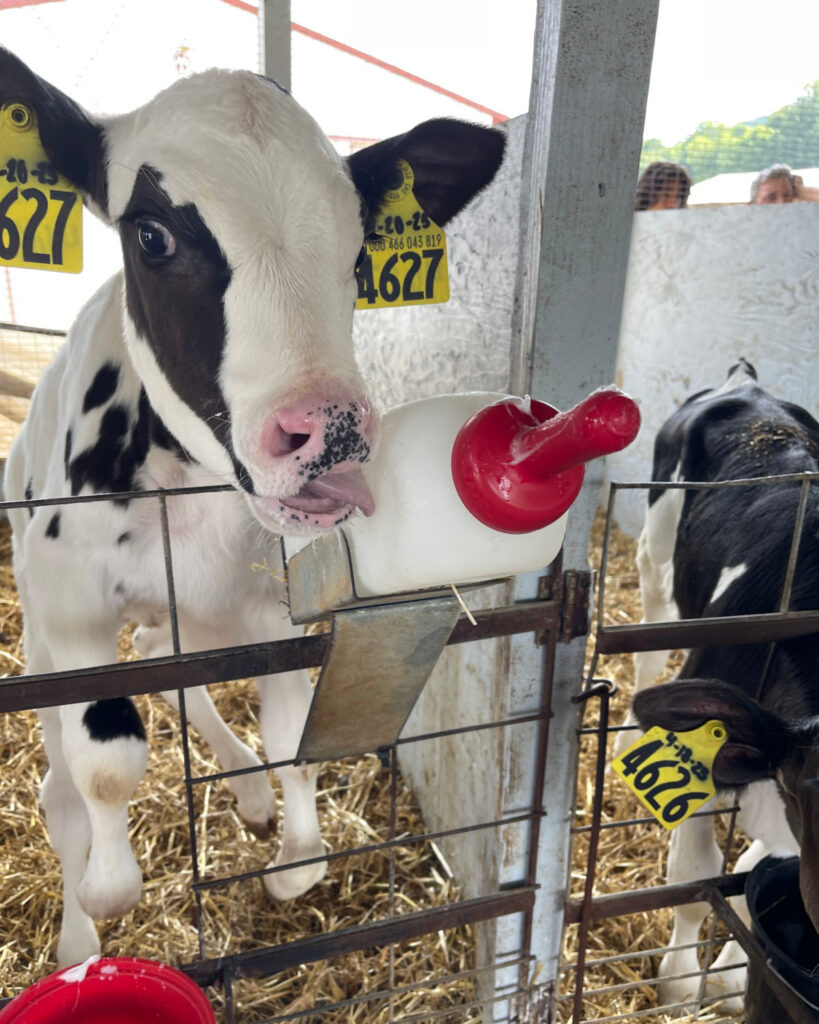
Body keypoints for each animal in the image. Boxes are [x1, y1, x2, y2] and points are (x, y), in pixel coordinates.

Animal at [0, 47, 505, 967]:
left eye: (358, 252)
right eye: (152, 235)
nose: (330, 429)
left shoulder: (278, 610)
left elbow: (296, 742)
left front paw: (290, 852)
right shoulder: (72, 612)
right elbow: (96, 773)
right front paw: (96, 909)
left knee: (166, 662)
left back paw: (248, 792)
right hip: (39, 626)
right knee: (62, 782)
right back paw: (78, 934)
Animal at [621, 358, 819, 1011]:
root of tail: (746, 381)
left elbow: (751, 887)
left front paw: (733, 982)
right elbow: (693, 878)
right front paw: (681, 984)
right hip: (656, 550)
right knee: (651, 644)